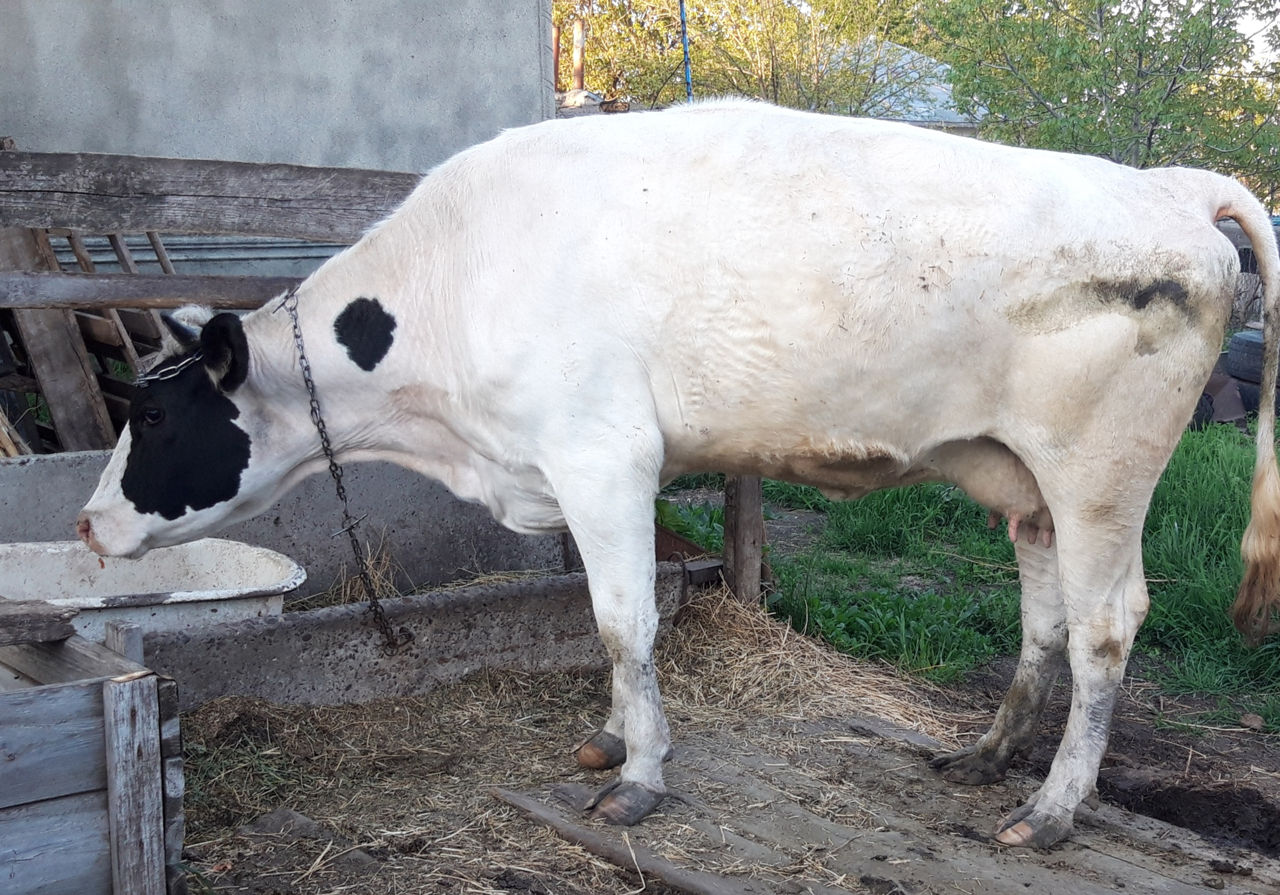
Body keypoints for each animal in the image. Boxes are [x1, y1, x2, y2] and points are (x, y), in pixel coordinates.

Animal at [78, 101, 1280, 849]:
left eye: (151, 411)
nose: (87, 525)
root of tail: (1168, 188)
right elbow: (602, 623)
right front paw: (612, 738)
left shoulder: (603, 454)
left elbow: (625, 622)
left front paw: (636, 777)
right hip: (1021, 476)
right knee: (1043, 614)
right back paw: (986, 755)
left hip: (1100, 471)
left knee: (1106, 626)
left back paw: (1054, 807)